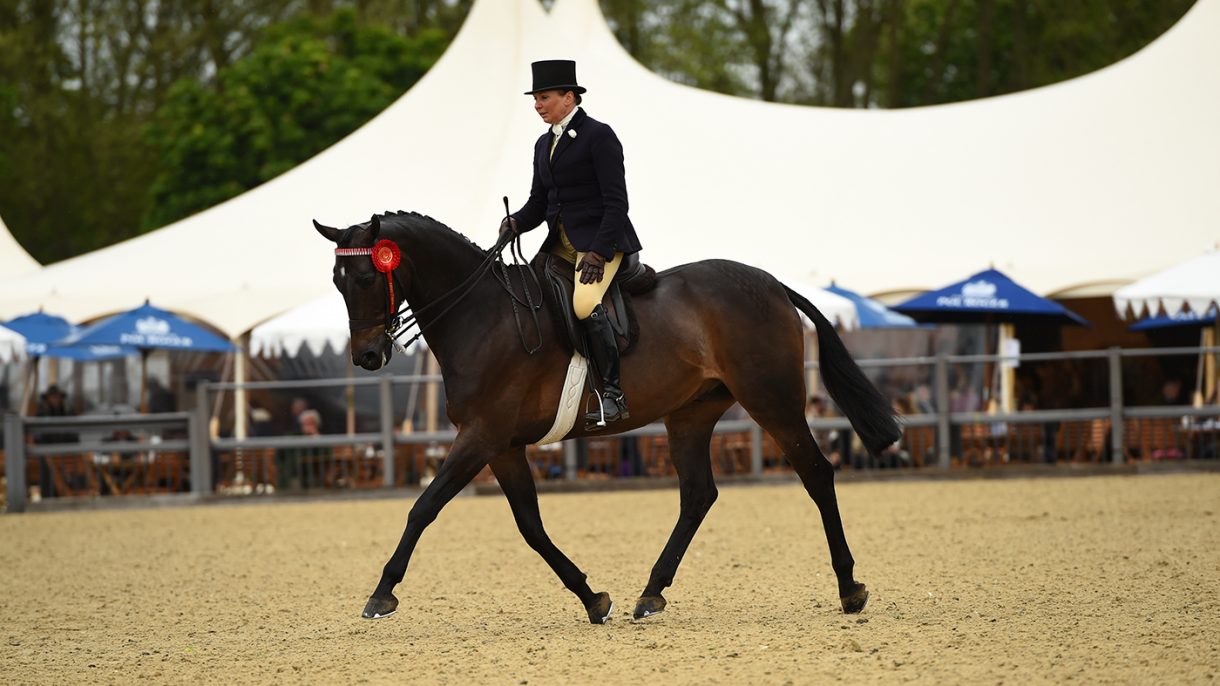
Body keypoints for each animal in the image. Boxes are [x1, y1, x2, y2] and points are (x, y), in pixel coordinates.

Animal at [314, 210, 901, 624]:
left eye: (366, 278)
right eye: (338, 282)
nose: (368, 356)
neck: (482, 316)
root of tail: (773, 283)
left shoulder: (480, 438)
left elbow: (423, 508)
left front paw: (381, 593)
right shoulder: (502, 446)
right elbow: (530, 526)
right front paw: (592, 597)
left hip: (771, 400)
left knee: (816, 474)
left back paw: (850, 588)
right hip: (690, 414)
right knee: (698, 495)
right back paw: (651, 593)